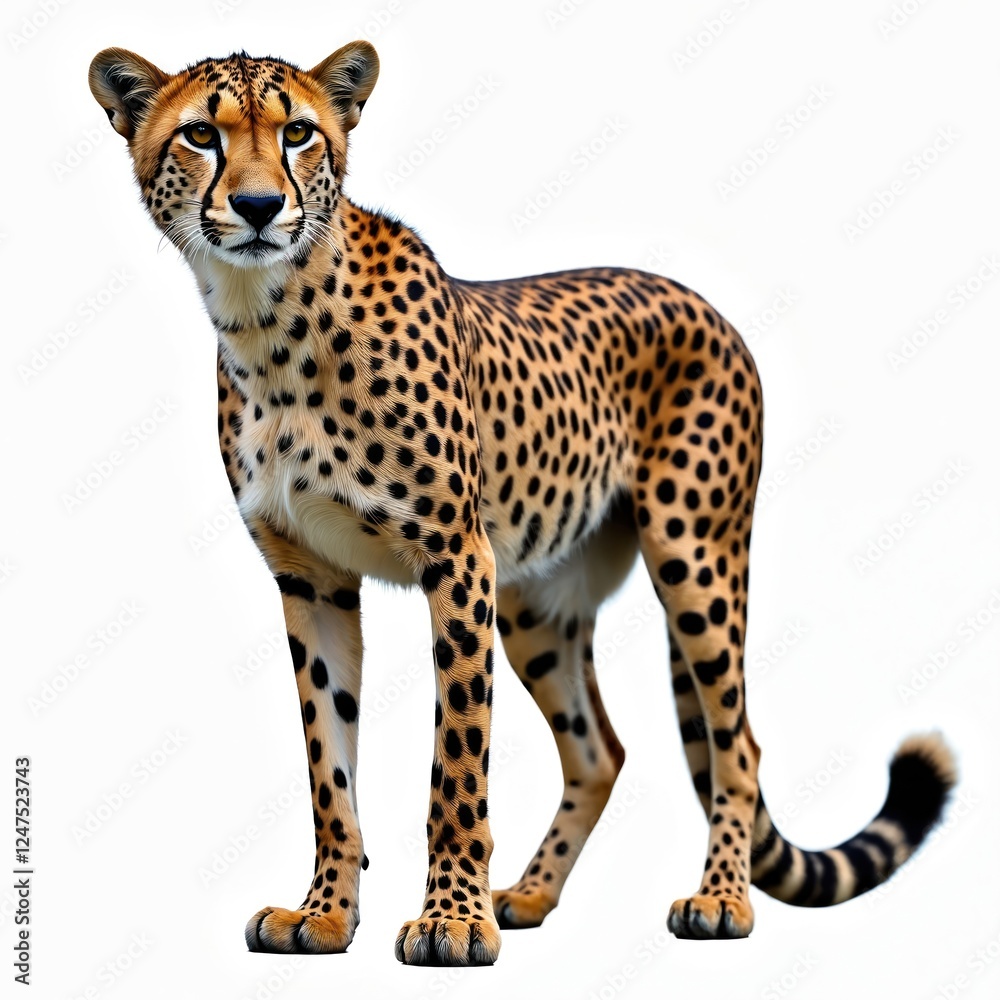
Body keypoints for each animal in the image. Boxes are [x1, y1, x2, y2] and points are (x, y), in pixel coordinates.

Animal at [89, 41, 956, 966]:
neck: (267, 323)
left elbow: (458, 762)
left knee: (739, 746)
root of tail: (699, 300)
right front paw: (324, 913)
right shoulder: (311, 577)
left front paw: (451, 920)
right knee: (601, 750)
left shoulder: (455, 557)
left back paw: (720, 898)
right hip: (535, 598)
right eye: (200, 136)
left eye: (298, 134)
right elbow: (330, 765)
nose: (259, 207)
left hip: (693, 556)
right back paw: (531, 894)